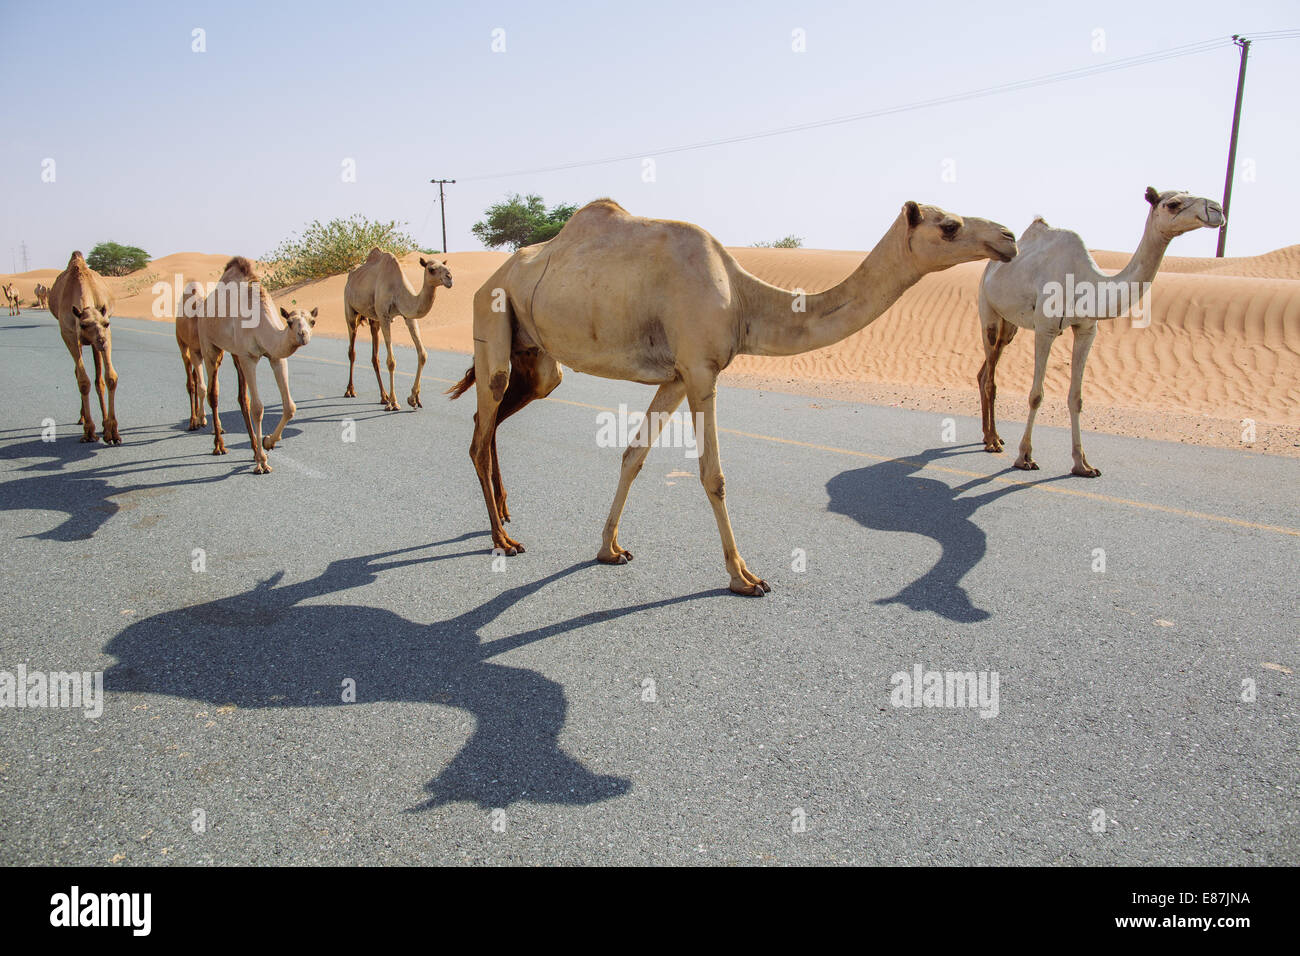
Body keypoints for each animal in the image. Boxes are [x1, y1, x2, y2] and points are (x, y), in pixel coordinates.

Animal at [48, 251, 120, 443]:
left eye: (106, 323)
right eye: (84, 325)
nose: (102, 341)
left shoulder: (106, 332)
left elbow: (110, 378)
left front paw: (113, 432)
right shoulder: (69, 333)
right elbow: (83, 381)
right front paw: (89, 431)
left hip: (94, 346)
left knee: (98, 380)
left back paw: (103, 423)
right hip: (80, 341)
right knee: (79, 374)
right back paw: (83, 418)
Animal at [194, 257, 316, 474]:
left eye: (312, 321)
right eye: (290, 321)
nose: (303, 335)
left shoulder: (276, 358)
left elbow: (290, 406)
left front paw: (268, 442)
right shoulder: (248, 357)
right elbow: (258, 408)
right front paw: (262, 462)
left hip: (235, 353)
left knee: (243, 398)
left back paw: (252, 448)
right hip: (209, 345)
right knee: (213, 393)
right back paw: (219, 446)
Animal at [343, 249, 453, 410]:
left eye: (446, 266)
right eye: (431, 269)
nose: (449, 277)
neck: (398, 289)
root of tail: (350, 276)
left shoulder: (409, 316)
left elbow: (422, 354)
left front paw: (414, 398)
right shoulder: (384, 316)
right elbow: (391, 361)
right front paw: (394, 402)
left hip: (374, 320)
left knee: (375, 357)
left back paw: (383, 396)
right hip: (350, 311)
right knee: (352, 351)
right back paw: (350, 391)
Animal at [447, 198, 1017, 595]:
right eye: (949, 225)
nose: (1009, 237)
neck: (742, 300)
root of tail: (490, 277)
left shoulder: (678, 376)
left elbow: (633, 454)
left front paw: (609, 548)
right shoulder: (701, 371)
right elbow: (713, 476)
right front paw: (744, 577)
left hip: (538, 358)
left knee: (491, 421)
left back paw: (504, 518)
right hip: (492, 316)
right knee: (479, 428)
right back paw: (502, 540)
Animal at [977, 187, 1225, 477]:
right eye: (1173, 204)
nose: (1217, 210)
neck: (1087, 283)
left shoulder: (1087, 329)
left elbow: (1076, 398)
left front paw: (1082, 464)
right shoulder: (1046, 328)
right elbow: (1036, 395)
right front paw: (1024, 457)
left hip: (1010, 325)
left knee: (986, 370)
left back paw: (991, 436)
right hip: (988, 310)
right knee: (990, 375)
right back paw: (992, 442)